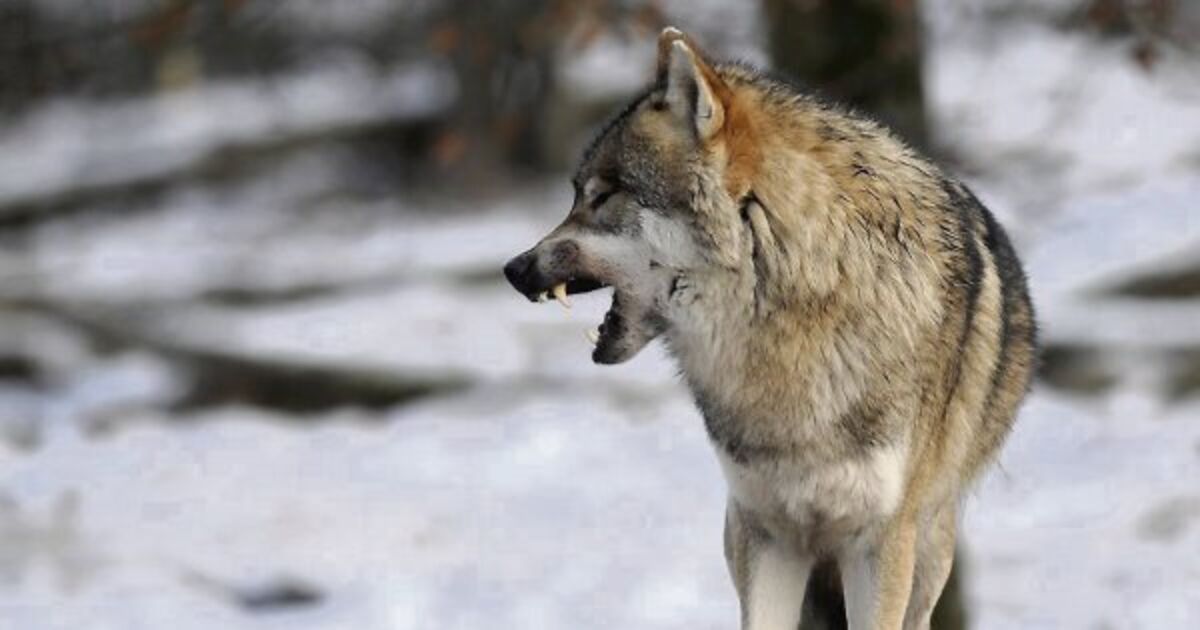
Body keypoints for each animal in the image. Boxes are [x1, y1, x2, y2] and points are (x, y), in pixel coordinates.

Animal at [503, 28, 1036, 630]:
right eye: (577, 194)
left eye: (602, 195)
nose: (514, 269)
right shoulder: (768, 534)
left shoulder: (878, 542)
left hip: (927, 554)